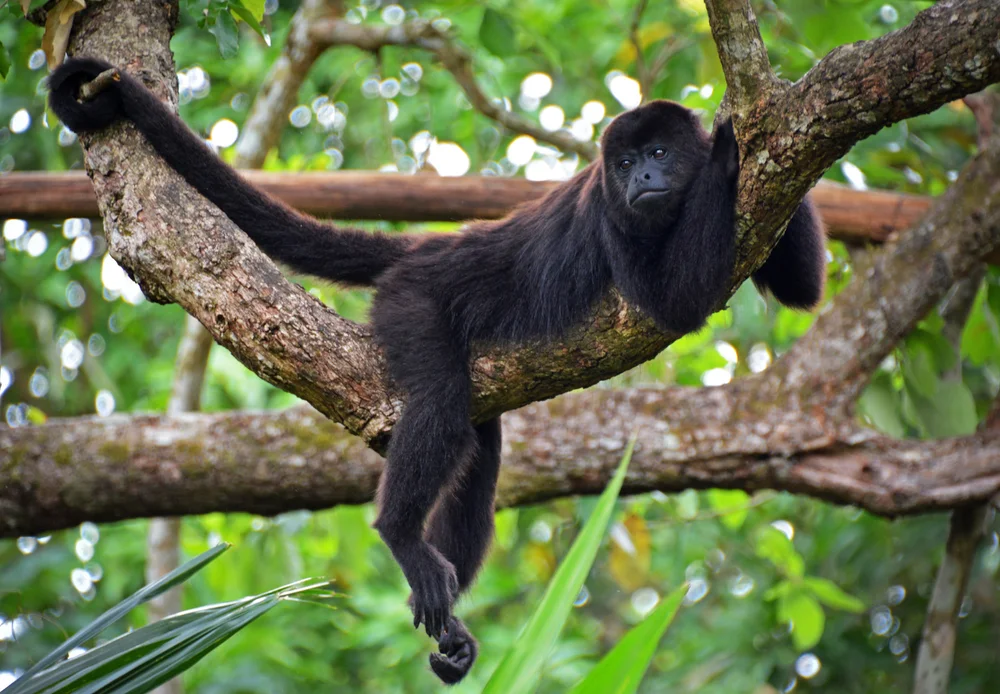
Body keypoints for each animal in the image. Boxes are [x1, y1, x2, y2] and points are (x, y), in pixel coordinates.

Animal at [48, 57, 825, 685]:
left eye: (658, 152)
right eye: (629, 164)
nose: (643, 179)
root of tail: (422, 253)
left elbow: (801, 290)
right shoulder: (608, 214)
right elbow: (672, 303)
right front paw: (727, 146)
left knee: (480, 450)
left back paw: (450, 623)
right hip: (412, 307)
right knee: (444, 411)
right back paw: (399, 533)